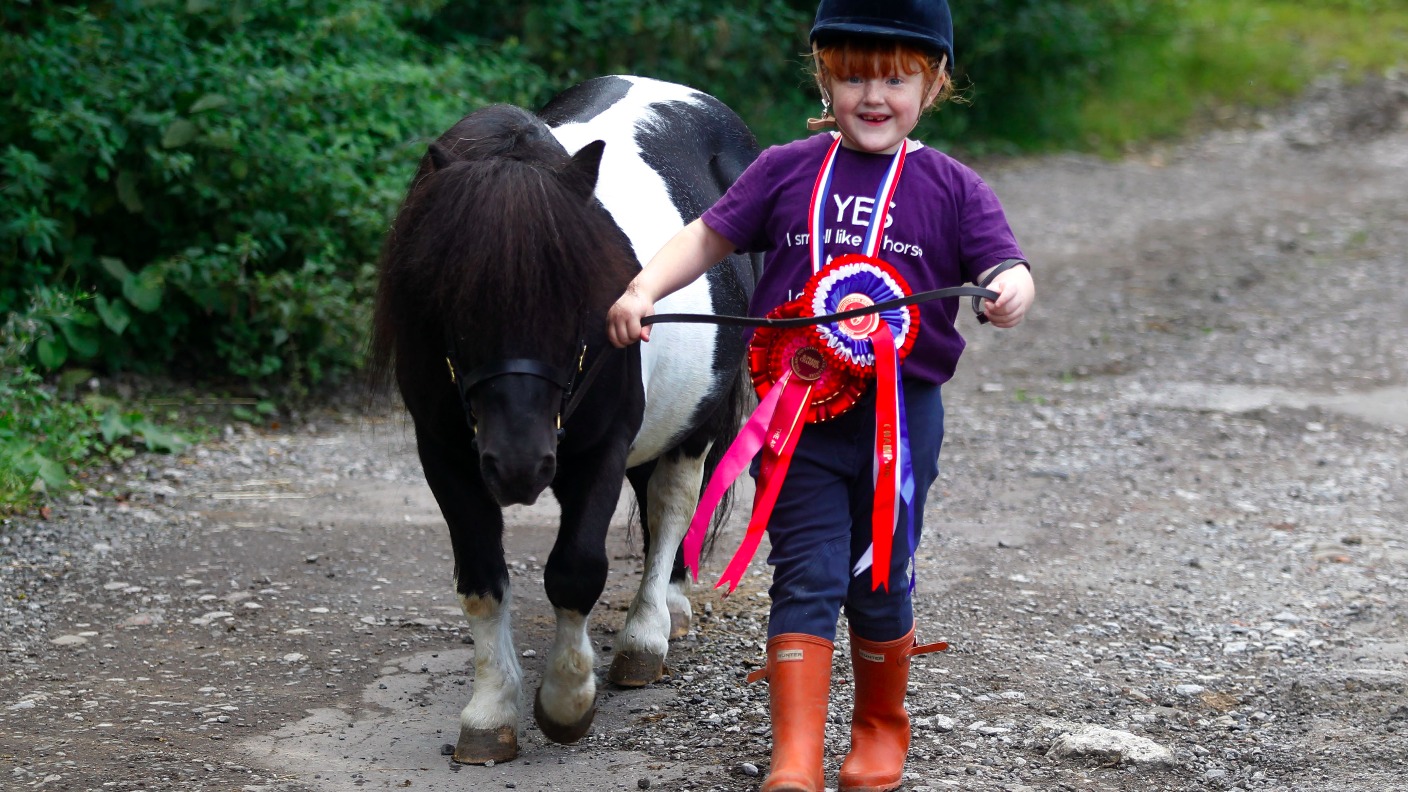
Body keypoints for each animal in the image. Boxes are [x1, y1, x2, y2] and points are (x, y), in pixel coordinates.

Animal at [368, 76, 759, 764]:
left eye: (580, 299)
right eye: (452, 304)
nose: (519, 465)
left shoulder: (601, 448)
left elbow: (576, 570)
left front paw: (566, 701)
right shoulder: (444, 456)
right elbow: (481, 579)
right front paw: (491, 712)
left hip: (698, 419)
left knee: (672, 504)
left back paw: (647, 635)